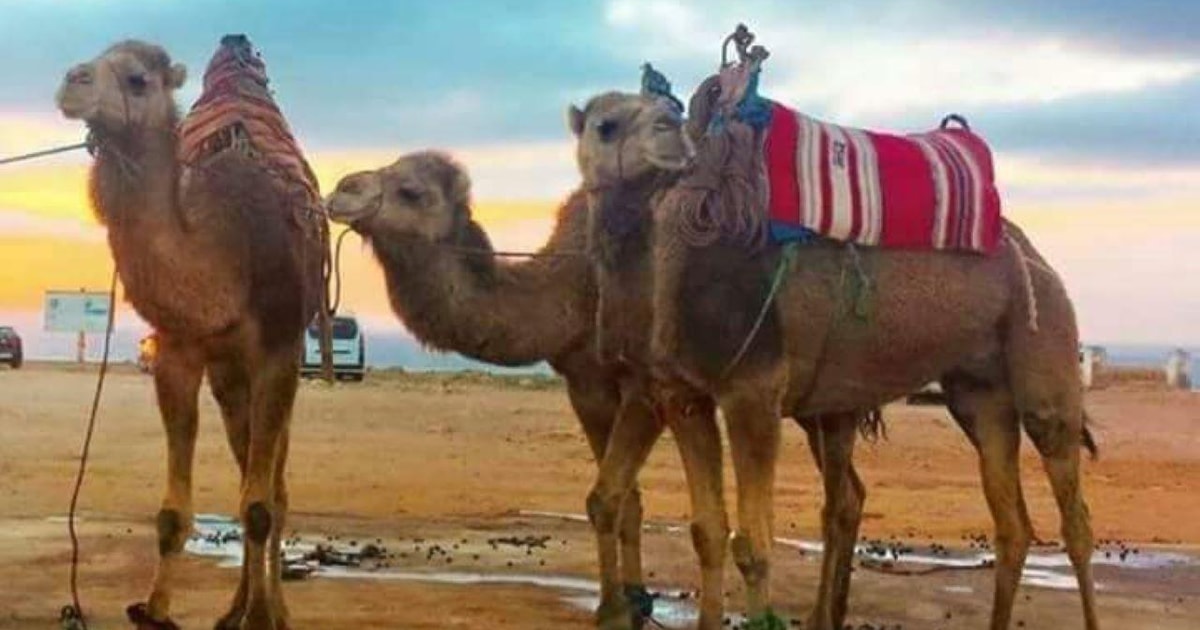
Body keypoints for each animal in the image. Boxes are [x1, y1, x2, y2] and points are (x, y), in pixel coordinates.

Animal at [57, 38, 324, 629]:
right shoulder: (178, 352)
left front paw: (264, 619)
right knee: (249, 465)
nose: (72, 81)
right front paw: (154, 610)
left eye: (137, 79)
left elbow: (261, 504)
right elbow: (173, 514)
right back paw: (233, 609)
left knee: (274, 487)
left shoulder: (278, 350)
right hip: (228, 374)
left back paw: (271, 609)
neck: (223, 254)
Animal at [566, 85, 1099, 630]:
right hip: (977, 391)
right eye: (606, 125)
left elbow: (752, 544)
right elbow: (698, 527)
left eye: (668, 110)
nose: (670, 128)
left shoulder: (751, 390)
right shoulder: (678, 395)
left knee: (1073, 514)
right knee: (1010, 521)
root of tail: (1031, 253)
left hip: (1045, 342)